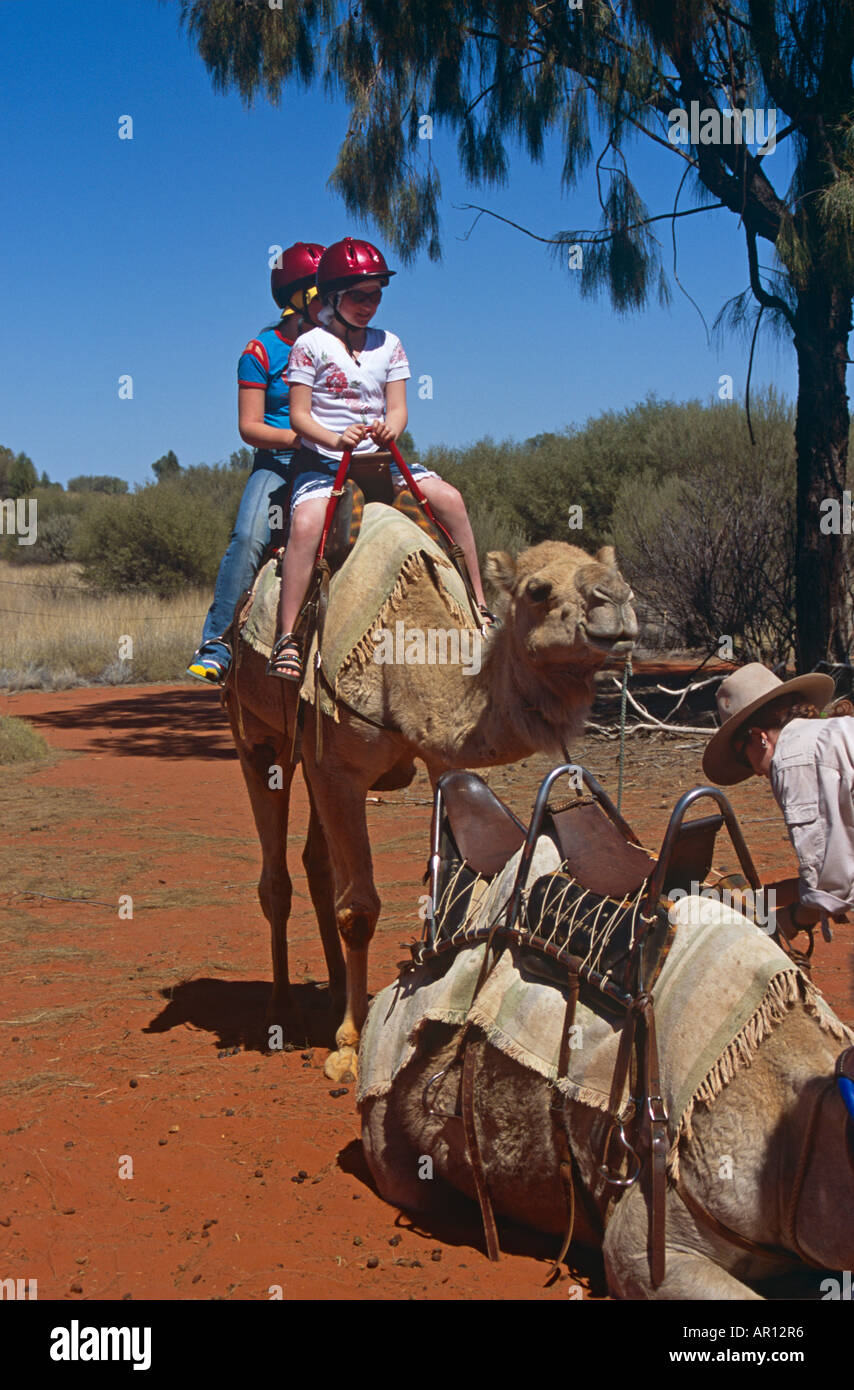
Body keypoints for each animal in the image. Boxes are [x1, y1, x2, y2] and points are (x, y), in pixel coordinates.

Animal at [221, 509, 637, 1082]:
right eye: (537, 590)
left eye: (611, 570)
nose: (617, 599)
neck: (404, 659)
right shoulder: (339, 767)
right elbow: (360, 908)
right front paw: (349, 1048)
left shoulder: (436, 760)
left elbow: (449, 884)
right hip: (258, 737)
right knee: (276, 878)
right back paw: (281, 1011)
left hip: (305, 751)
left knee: (317, 864)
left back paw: (334, 991)